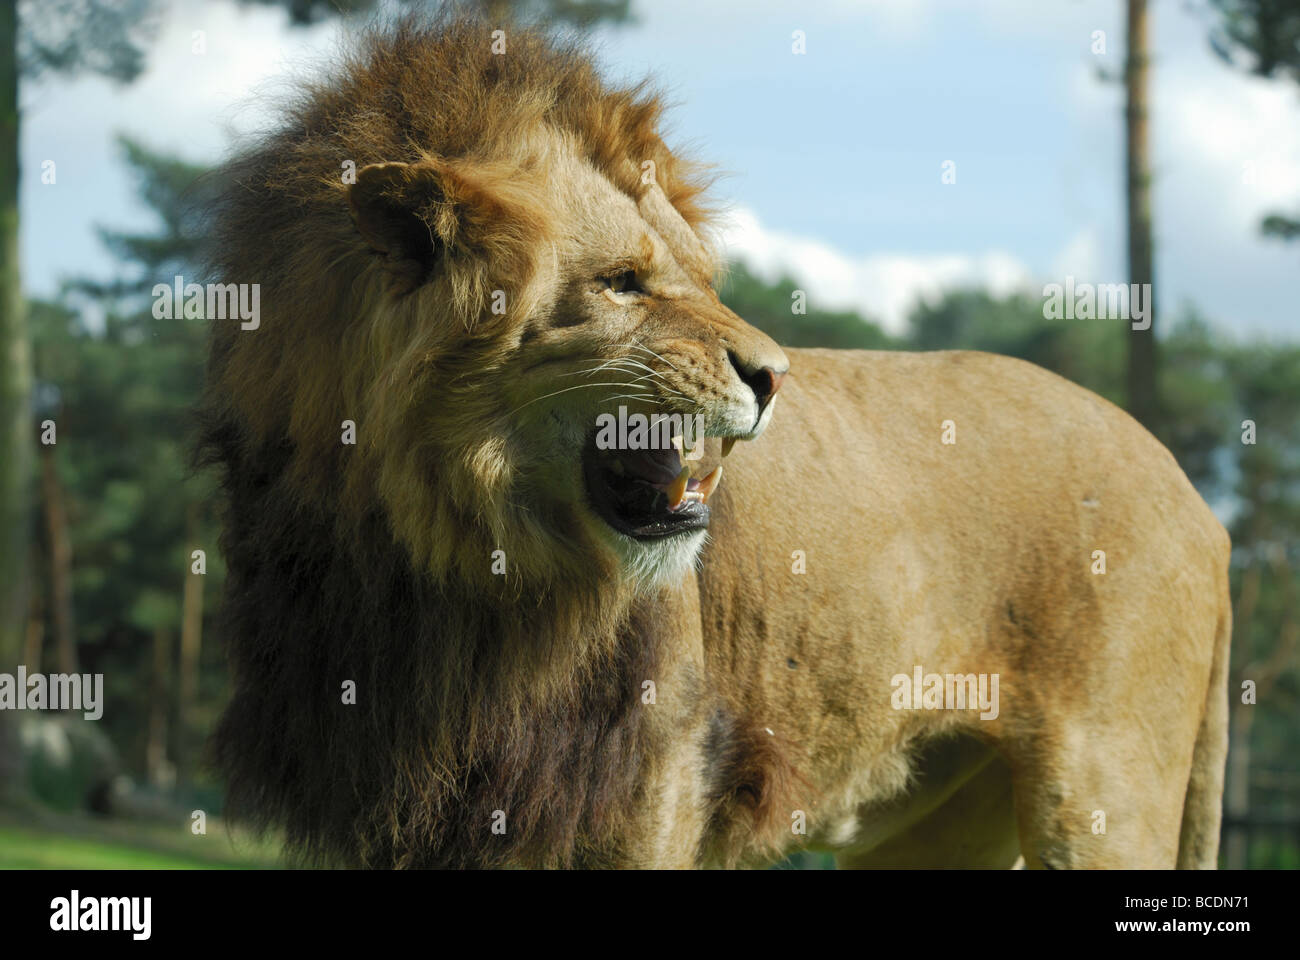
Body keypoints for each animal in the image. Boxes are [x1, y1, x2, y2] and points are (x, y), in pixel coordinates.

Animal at [198, 15, 1231, 869]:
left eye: (699, 280)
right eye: (623, 283)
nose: (776, 376)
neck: (450, 562)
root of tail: (1200, 504)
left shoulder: (650, 795)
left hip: (1102, 793)